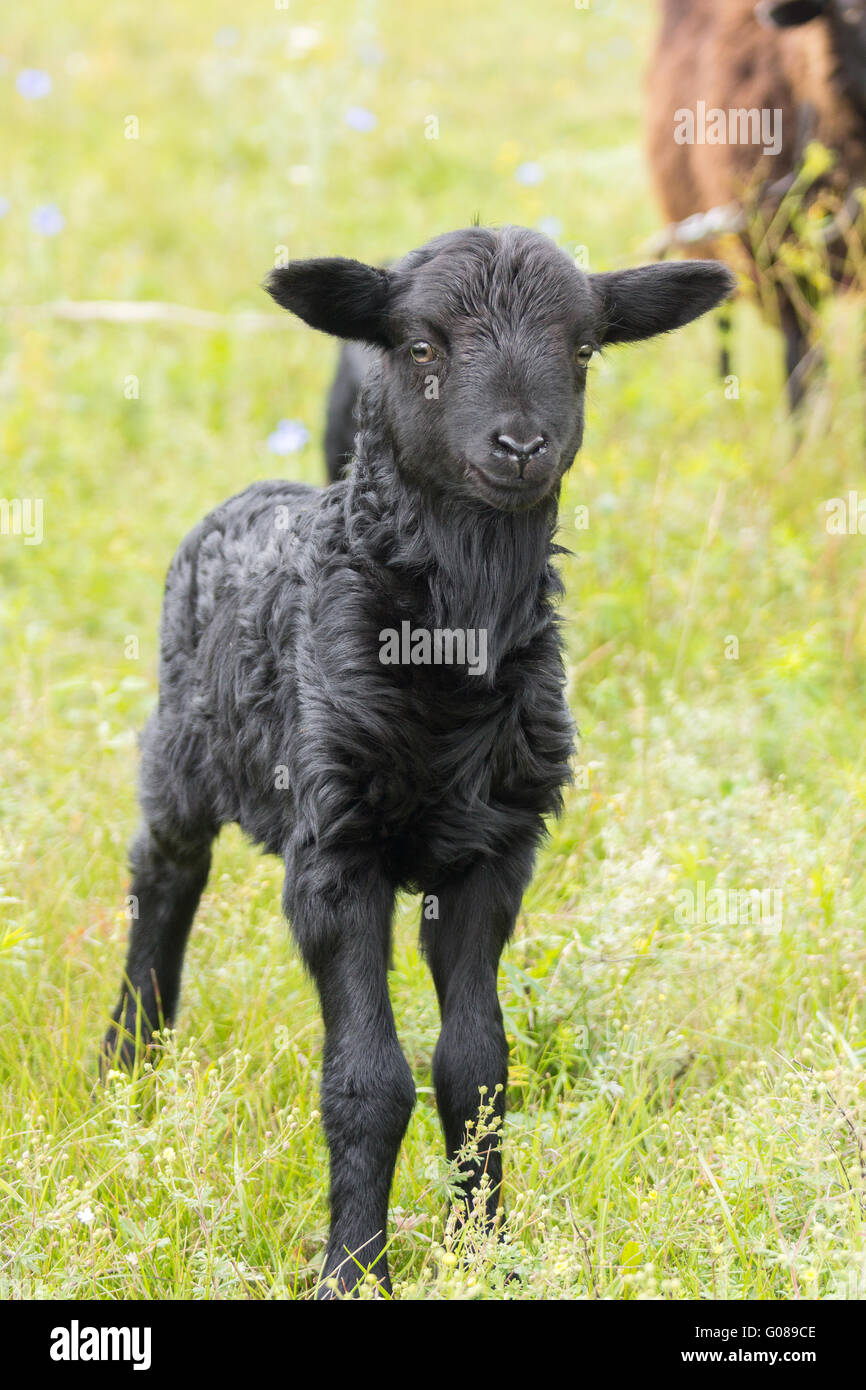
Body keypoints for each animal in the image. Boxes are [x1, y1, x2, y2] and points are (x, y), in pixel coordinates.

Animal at [102, 225, 733, 1297]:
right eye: (424, 346)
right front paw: (355, 1269)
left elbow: (475, 1069)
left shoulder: (494, 854)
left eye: (583, 350)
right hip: (180, 753)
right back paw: (129, 1066)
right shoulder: (334, 853)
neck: (445, 660)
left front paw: (486, 1251)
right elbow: (367, 1081)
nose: (520, 445)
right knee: (163, 880)